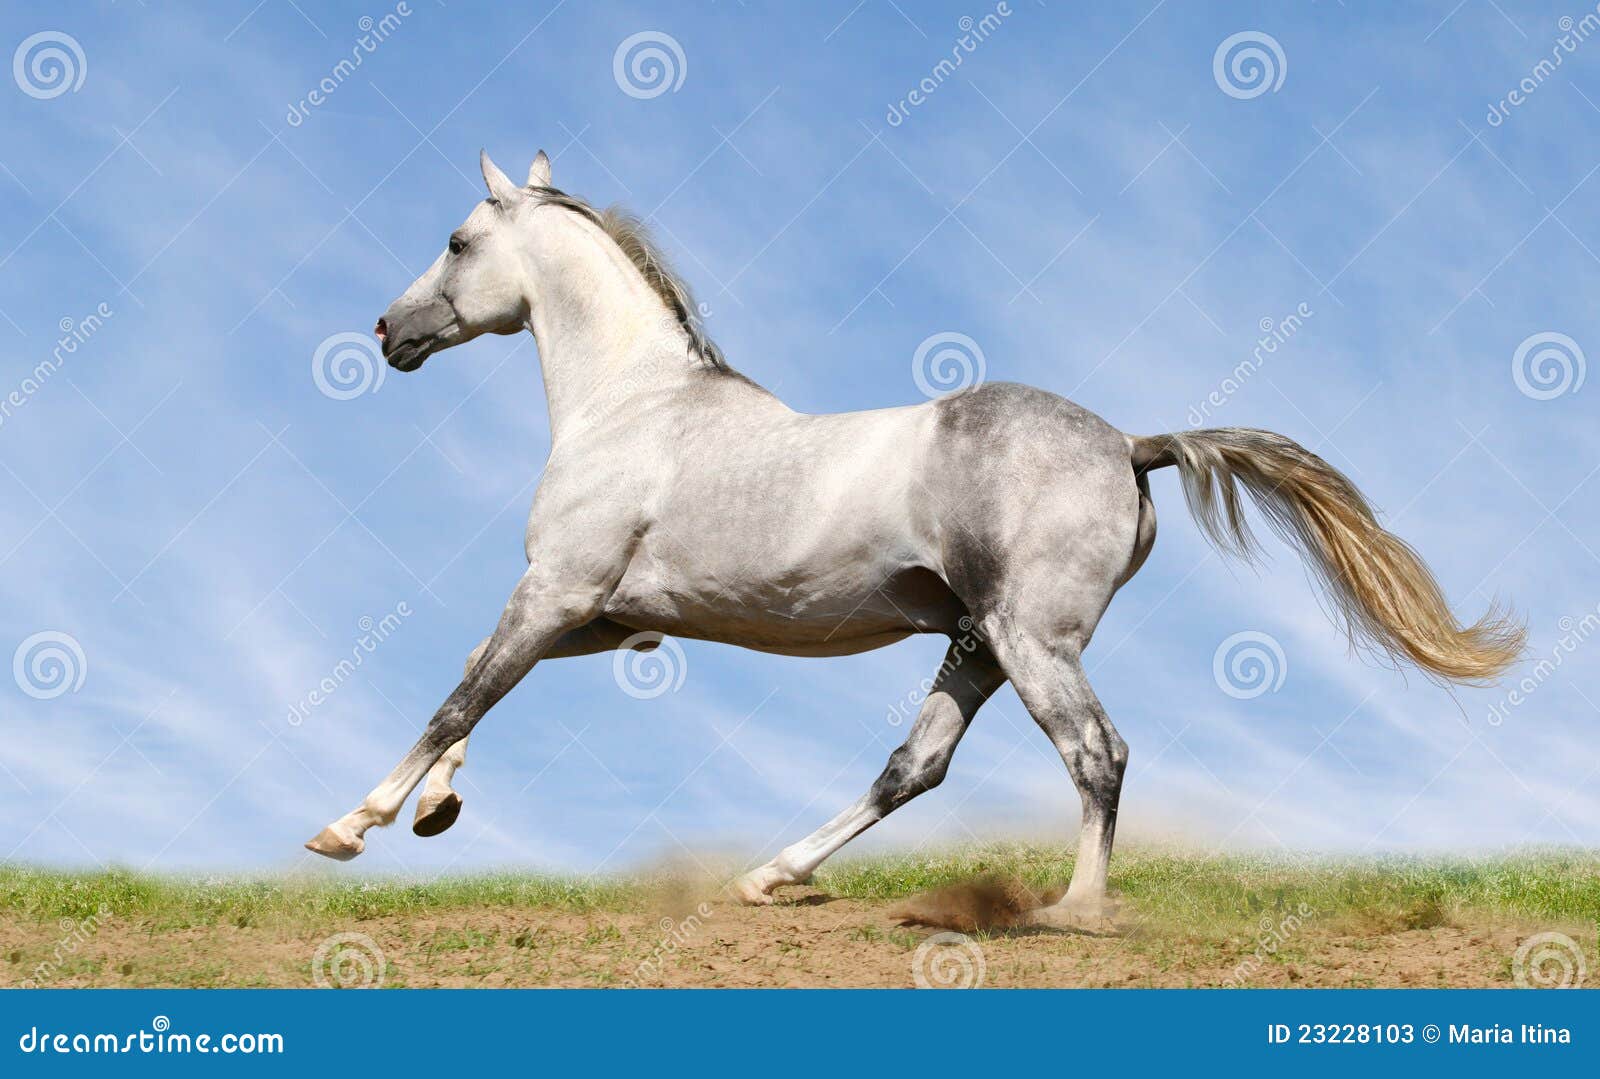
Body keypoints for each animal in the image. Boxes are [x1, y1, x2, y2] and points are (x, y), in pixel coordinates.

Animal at [306, 149, 1524, 925]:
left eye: (457, 240)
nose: (388, 329)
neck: (636, 407)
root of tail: (1129, 443)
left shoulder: (560, 590)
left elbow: (458, 693)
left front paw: (352, 825)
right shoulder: (612, 617)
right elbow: (478, 679)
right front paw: (439, 809)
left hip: (1031, 641)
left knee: (1096, 753)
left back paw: (1075, 908)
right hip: (976, 642)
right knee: (916, 766)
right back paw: (770, 876)